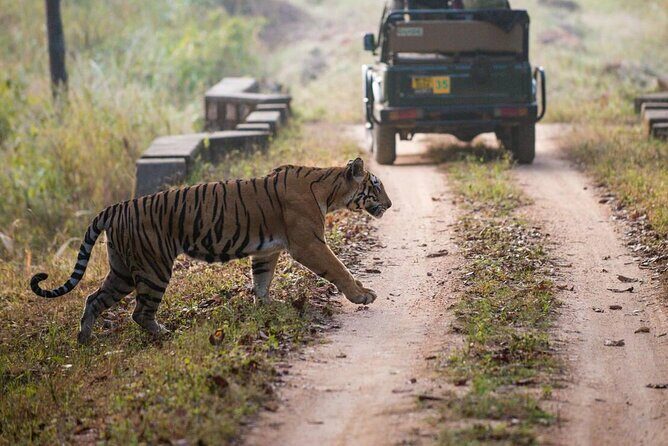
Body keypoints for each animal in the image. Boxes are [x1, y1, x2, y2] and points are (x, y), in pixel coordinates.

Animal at [30, 158, 392, 343]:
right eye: (375, 186)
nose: (389, 205)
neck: (331, 191)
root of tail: (116, 207)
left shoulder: (267, 250)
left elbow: (262, 280)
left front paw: (268, 306)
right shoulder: (308, 244)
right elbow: (339, 268)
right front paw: (362, 295)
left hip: (122, 270)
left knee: (94, 299)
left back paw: (84, 340)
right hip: (153, 267)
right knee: (139, 311)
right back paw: (164, 334)